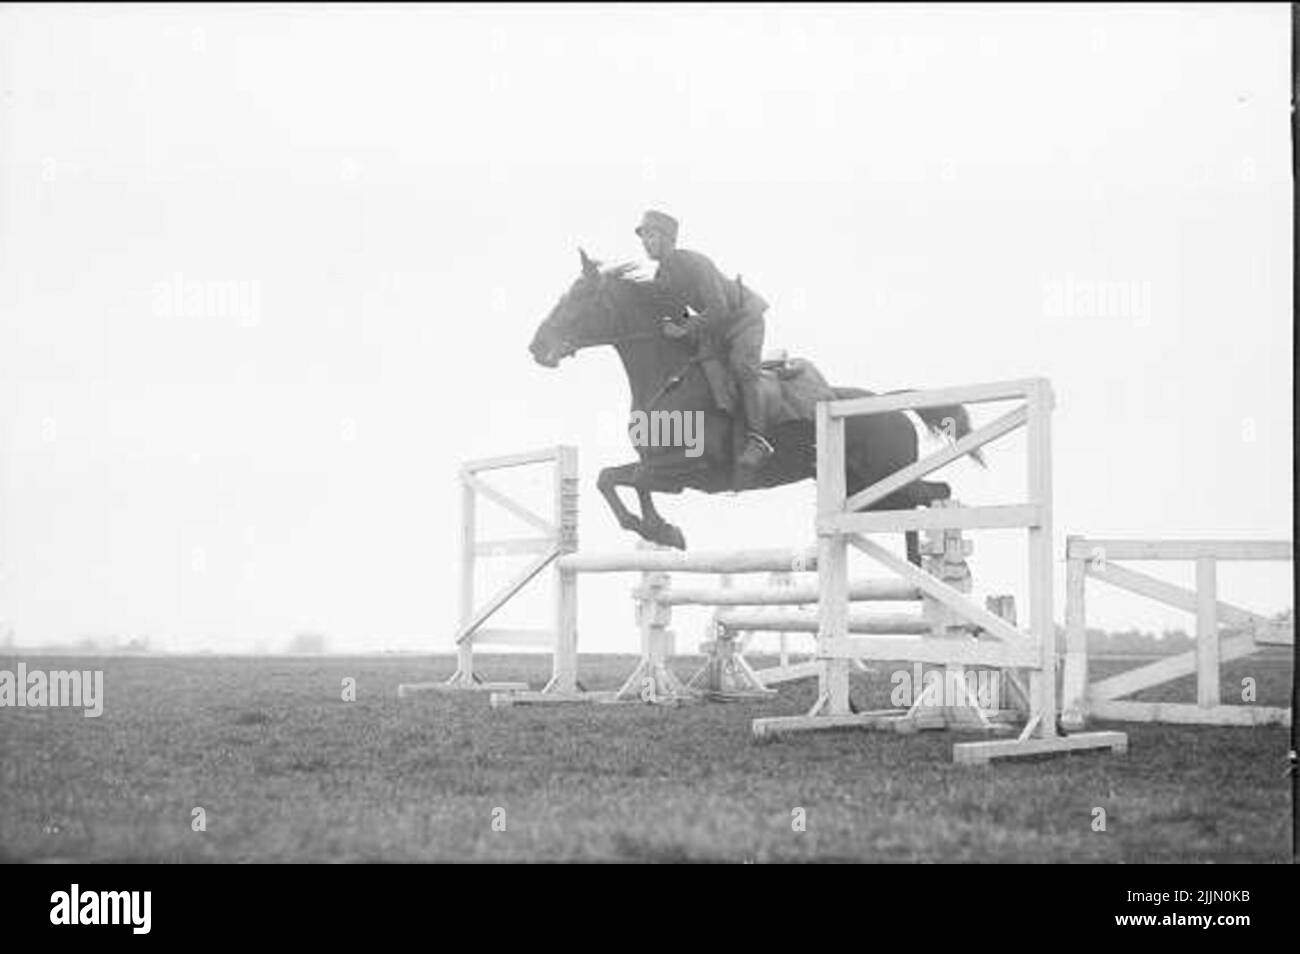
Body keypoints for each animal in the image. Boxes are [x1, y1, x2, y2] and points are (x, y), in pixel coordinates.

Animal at [529, 250, 985, 565]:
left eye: (579, 299)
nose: (536, 347)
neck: (669, 376)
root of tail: (891, 404)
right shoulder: (665, 471)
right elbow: (610, 479)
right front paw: (658, 529)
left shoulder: (691, 468)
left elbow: (635, 479)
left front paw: (663, 530)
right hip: (862, 490)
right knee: (921, 499)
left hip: (884, 480)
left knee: (932, 495)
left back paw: (925, 564)